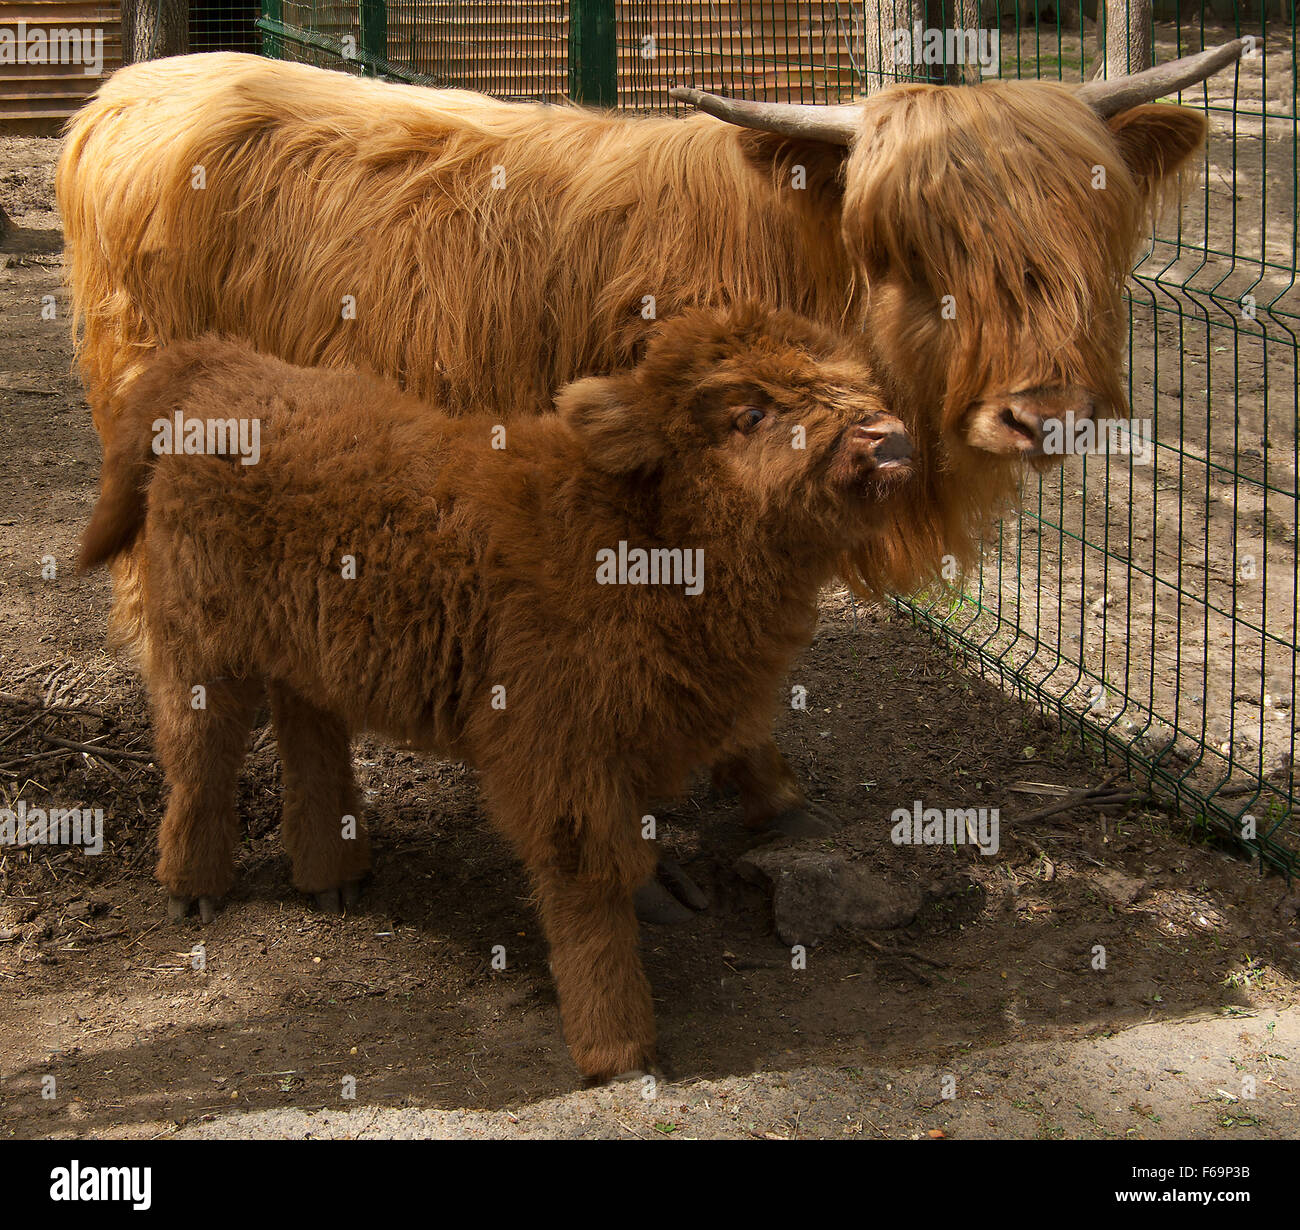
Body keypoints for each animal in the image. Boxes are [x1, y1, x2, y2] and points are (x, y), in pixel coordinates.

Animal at [77, 304, 916, 1079]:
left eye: (850, 376)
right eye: (750, 414)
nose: (886, 438)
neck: (641, 532)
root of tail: (225, 365)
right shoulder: (561, 758)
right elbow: (588, 884)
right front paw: (619, 1049)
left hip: (305, 645)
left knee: (308, 734)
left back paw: (333, 878)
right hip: (200, 642)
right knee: (199, 749)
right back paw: (194, 889)